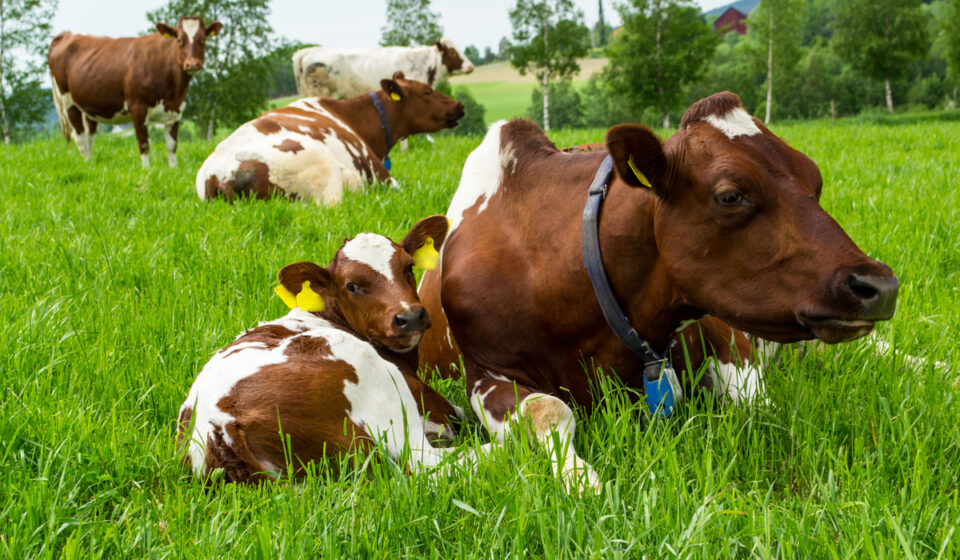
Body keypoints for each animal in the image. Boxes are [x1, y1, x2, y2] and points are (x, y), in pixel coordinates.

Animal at [48, 17, 222, 168]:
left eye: (202, 39)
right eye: (179, 40)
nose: (192, 64)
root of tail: (67, 34)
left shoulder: (176, 110)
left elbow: (172, 145)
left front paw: (173, 170)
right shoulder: (138, 107)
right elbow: (144, 144)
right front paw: (146, 171)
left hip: (88, 103)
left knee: (89, 136)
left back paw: (91, 164)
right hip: (67, 101)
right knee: (79, 136)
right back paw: (87, 165)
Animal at [417, 92, 899, 492]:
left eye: (815, 181)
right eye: (730, 195)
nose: (879, 284)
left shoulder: (726, 336)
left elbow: (759, 404)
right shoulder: (486, 372)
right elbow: (549, 411)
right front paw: (581, 480)